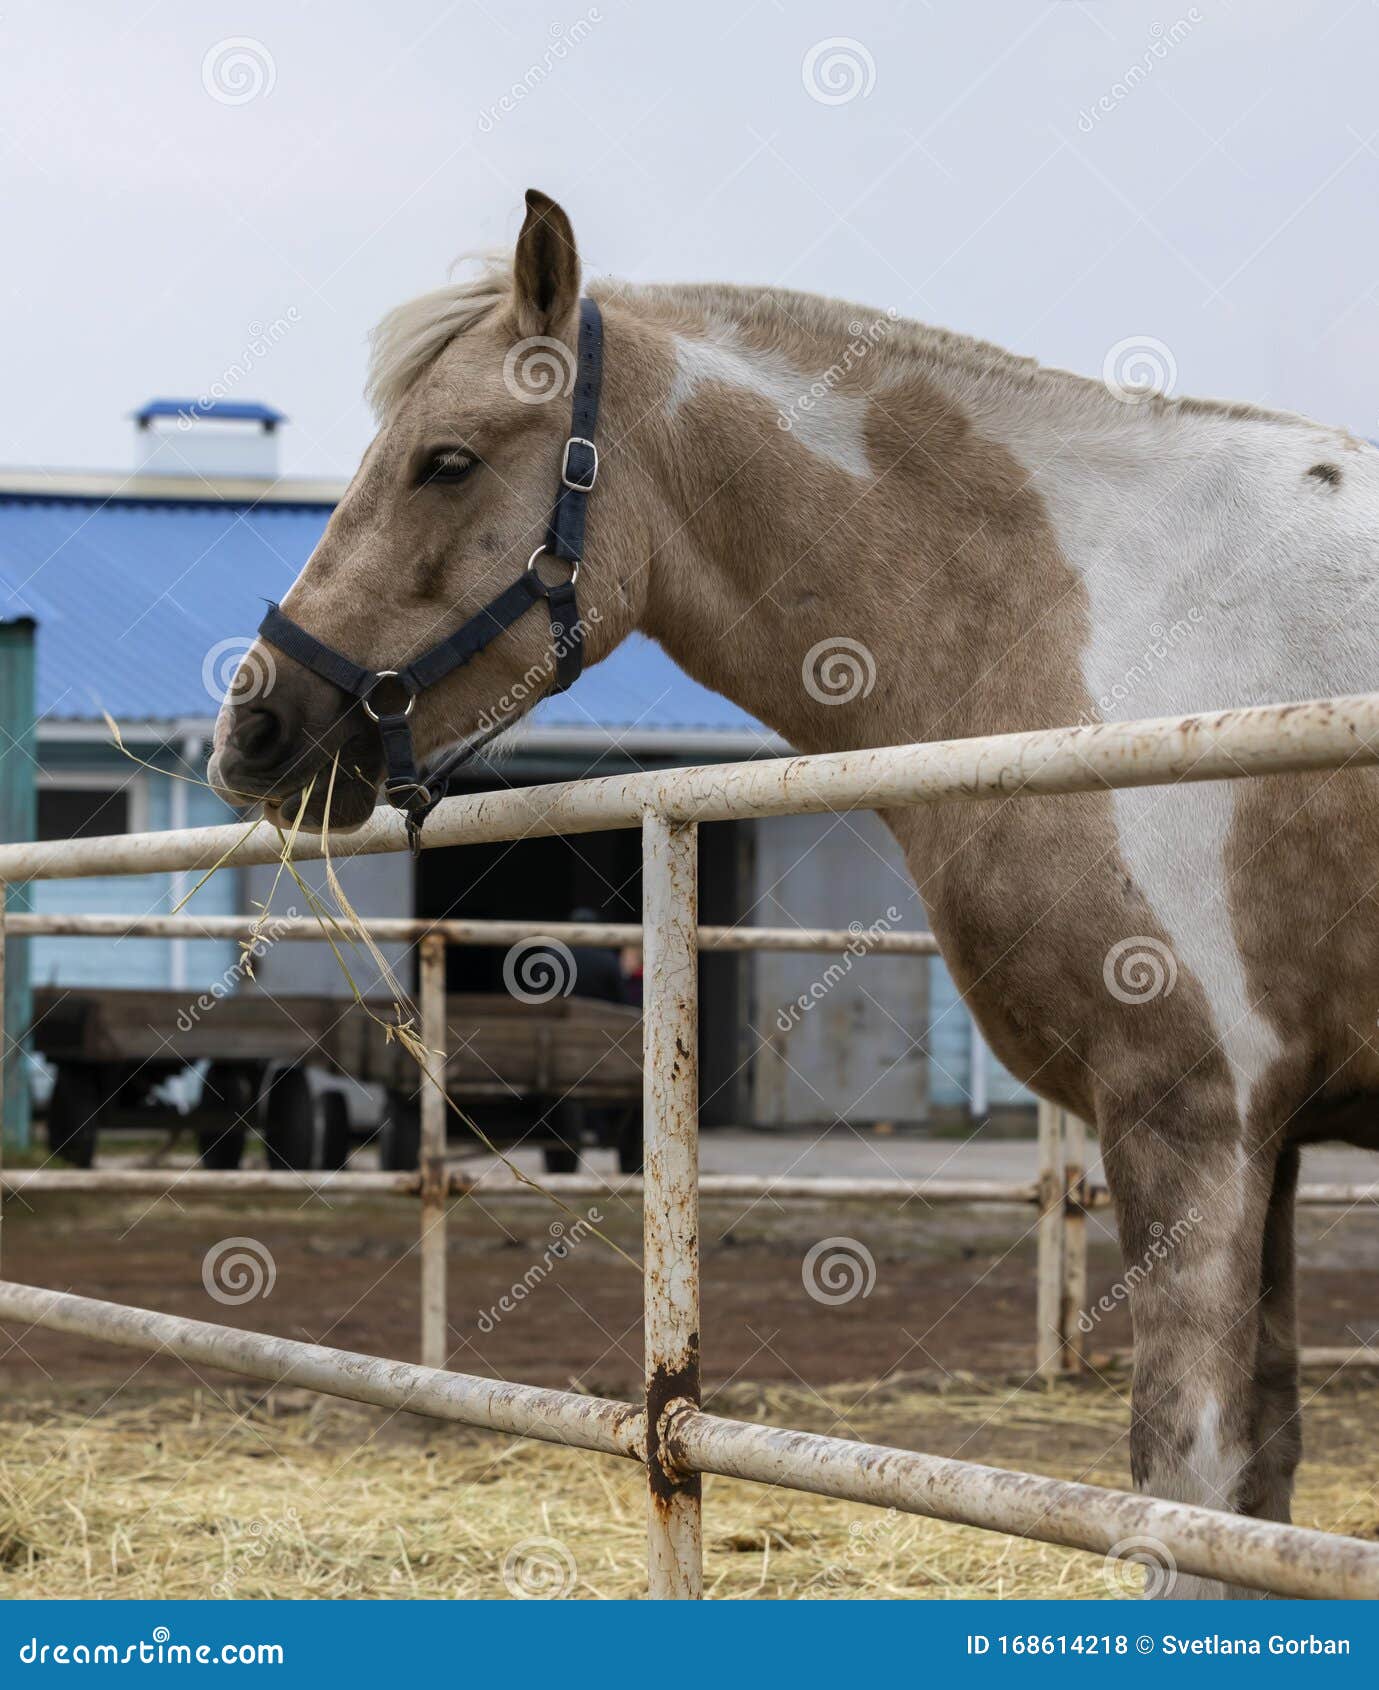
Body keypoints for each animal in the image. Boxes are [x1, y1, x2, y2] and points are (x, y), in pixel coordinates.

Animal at [209, 189, 1379, 1597]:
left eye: (446, 459)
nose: (252, 727)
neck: (1108, 621)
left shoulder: (1190, 1117)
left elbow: (1189, 1496)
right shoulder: (1271, 1138)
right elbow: (1262, 1481)